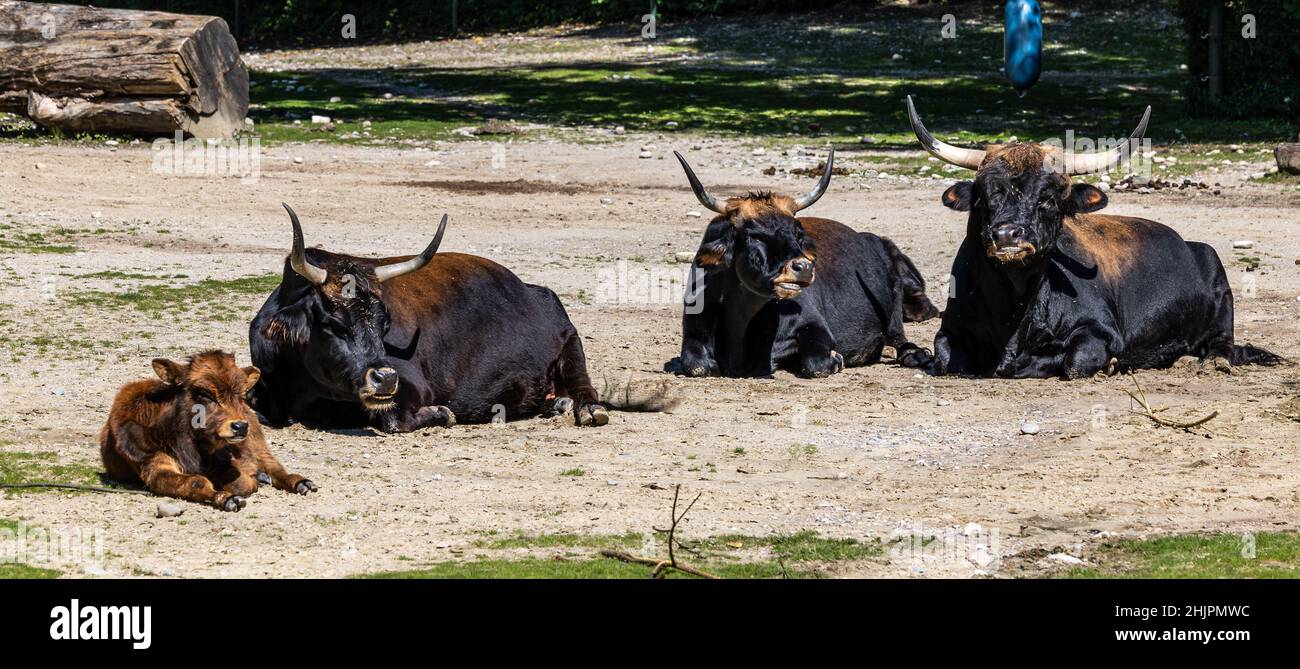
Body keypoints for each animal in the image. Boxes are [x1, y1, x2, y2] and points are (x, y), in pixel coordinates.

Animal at [100, 350, 316, 512]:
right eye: (204, 393)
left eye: (242, 394)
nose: (240, 426)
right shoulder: (154, 466)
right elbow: (196, 481)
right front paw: (228, 499)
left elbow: (241, 481)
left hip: (258, 444)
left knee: (275, 467)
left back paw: (300, 482)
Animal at [249, 204, 618, 432]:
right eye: (333, 324)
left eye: (384, 325)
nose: (386, 379)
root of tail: (535, 291)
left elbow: (397, 420)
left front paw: (442, 412)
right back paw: (557, 405)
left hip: (570, 340)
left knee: (583, 382)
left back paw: (587, 408)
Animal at [671, 149, 938, 379]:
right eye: (753, 235)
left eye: (798, 233)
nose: (803, 267)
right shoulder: (693, 333)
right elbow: (695, 364)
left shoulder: (816, 327)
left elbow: (816, 364)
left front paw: (836, 359)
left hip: (893, 303)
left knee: (899, 337)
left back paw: (915, 354)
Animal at [905, 95, 1282, 378]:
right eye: (984, 196)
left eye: (1050, 198)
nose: (1008, 235)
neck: (1014, 307)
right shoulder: (949, 331)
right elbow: (945, 358)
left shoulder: (1100, 331)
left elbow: (1074, 362)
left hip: (1220, 286)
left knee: (1222, 343)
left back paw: (1208, 359)